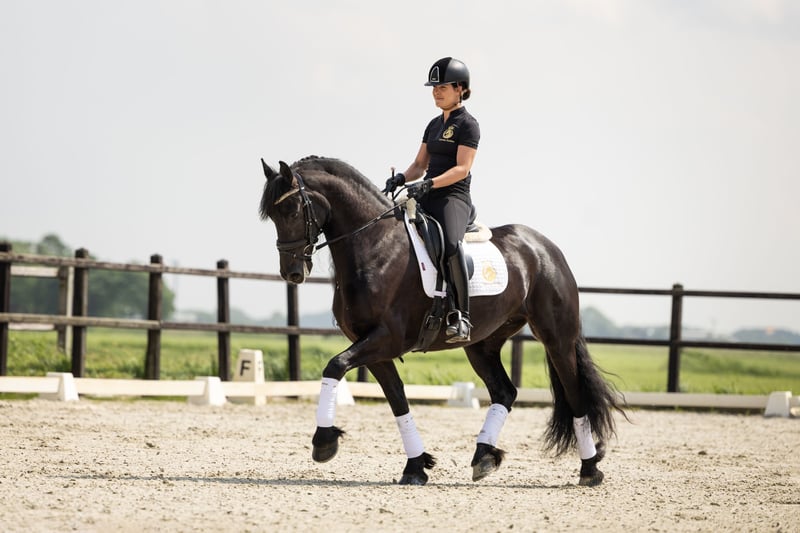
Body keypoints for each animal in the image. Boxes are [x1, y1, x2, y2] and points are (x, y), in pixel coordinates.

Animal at [259, 155, 624, 486]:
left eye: (292, 210)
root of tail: (546, 248)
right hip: (482, 344)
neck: (376, 246)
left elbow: (334, 366)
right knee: (505, 392)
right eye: (273, 215)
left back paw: (589, 469)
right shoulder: (373, 347)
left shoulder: (387, 338)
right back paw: (484, 457)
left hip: (556, 337)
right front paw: (416, 466)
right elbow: (397, 400)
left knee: (575, 395)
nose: (292, 273)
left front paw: (324, 442)